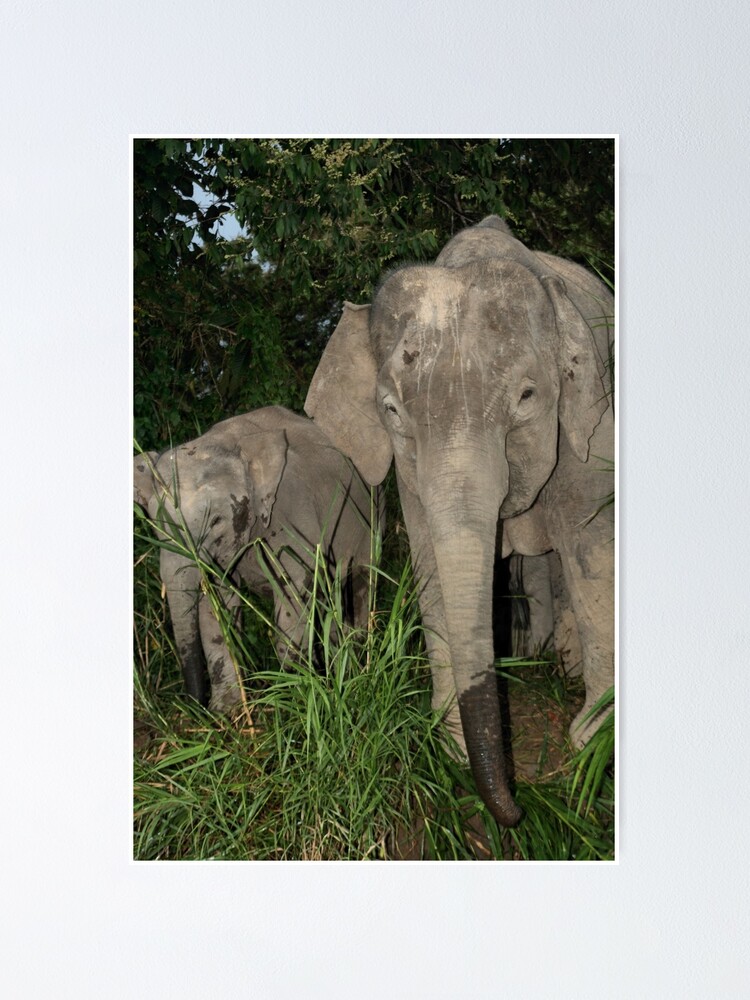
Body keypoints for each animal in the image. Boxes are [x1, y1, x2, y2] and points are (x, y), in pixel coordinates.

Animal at [133, 406, 378, 712]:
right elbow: (216, 605)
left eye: (215, 521)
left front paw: (292, 701)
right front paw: (227, 711)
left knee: (360, 584)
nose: (194, 707)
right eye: (156, 525)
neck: (226, 443)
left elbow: (291, 596)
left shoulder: (292, 513)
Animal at [305, 216, 614, 827]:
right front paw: (446, 748)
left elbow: (593, 546)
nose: (516, 811)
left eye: (527, 396)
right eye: (391, 410)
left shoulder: (592, 424)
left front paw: (592, 746)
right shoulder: (410, 470)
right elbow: (430, 562)